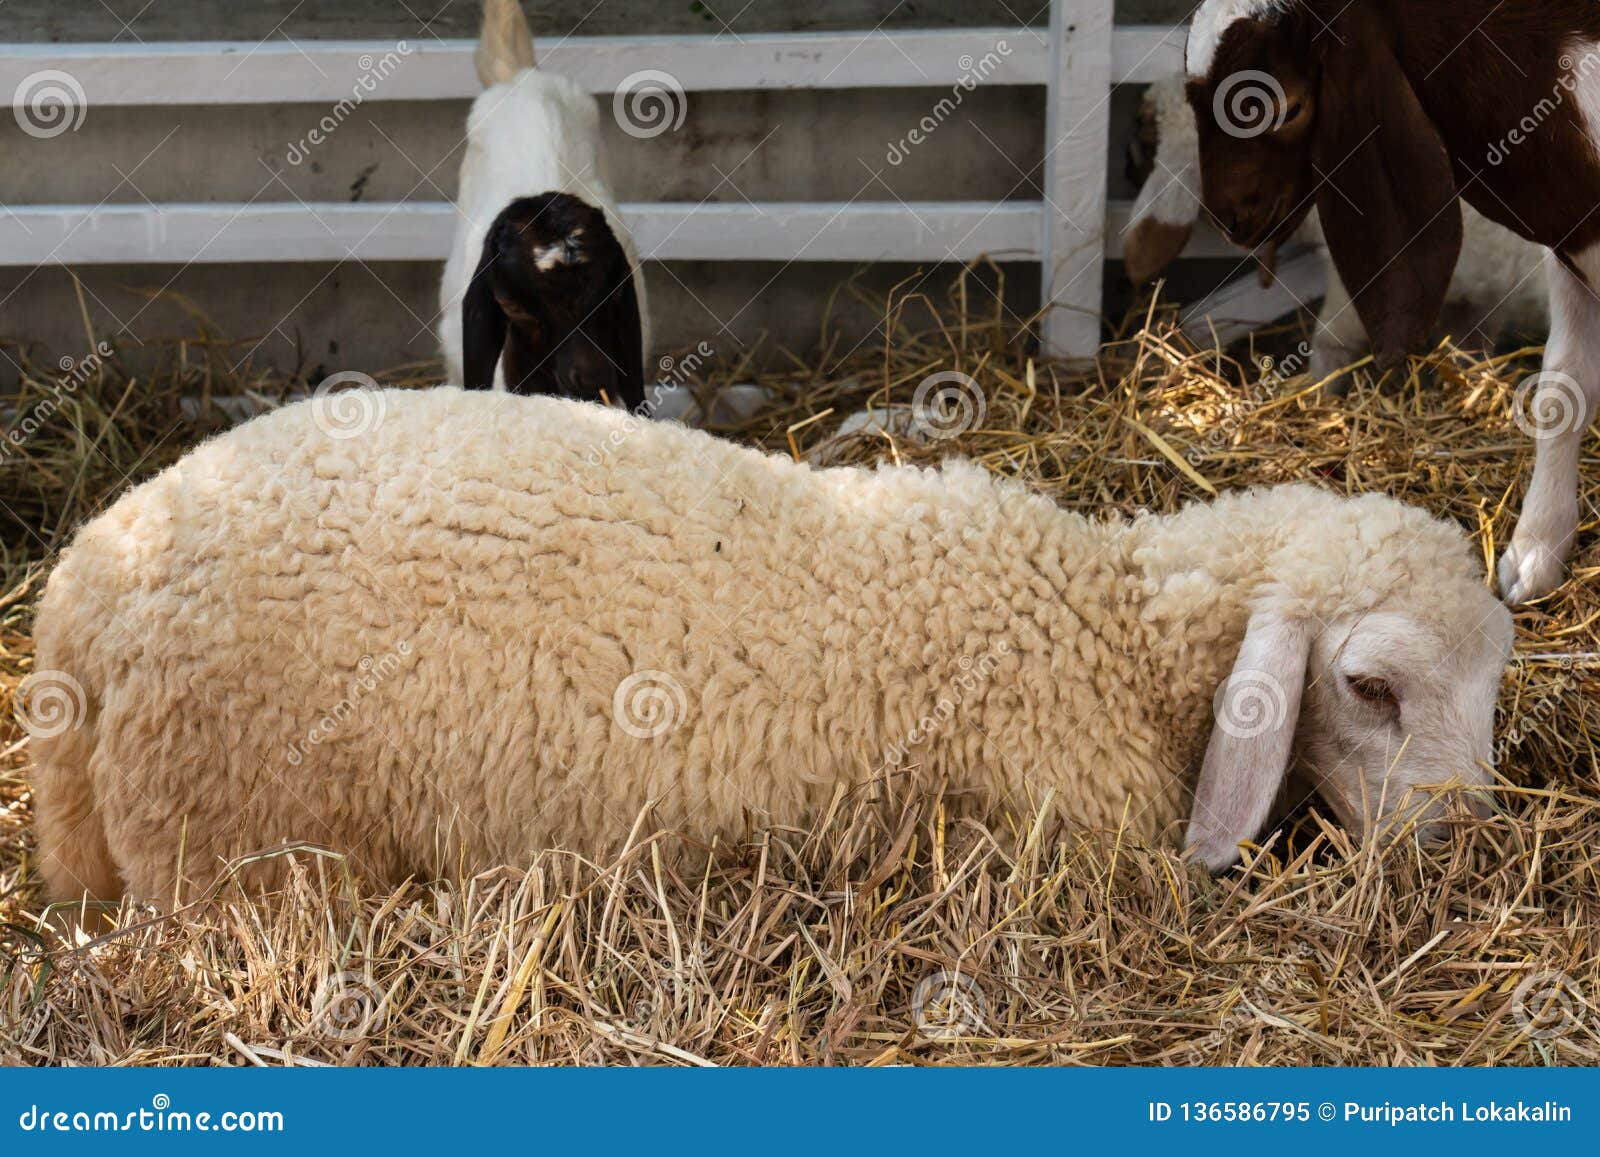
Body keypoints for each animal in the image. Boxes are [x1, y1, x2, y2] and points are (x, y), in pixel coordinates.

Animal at [1125, 75, 1549, 386]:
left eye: (1146, 137)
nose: (1126, 172)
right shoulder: (1478, 291)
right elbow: (1468, 345)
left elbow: (1332, 342)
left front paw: (1319, 392)